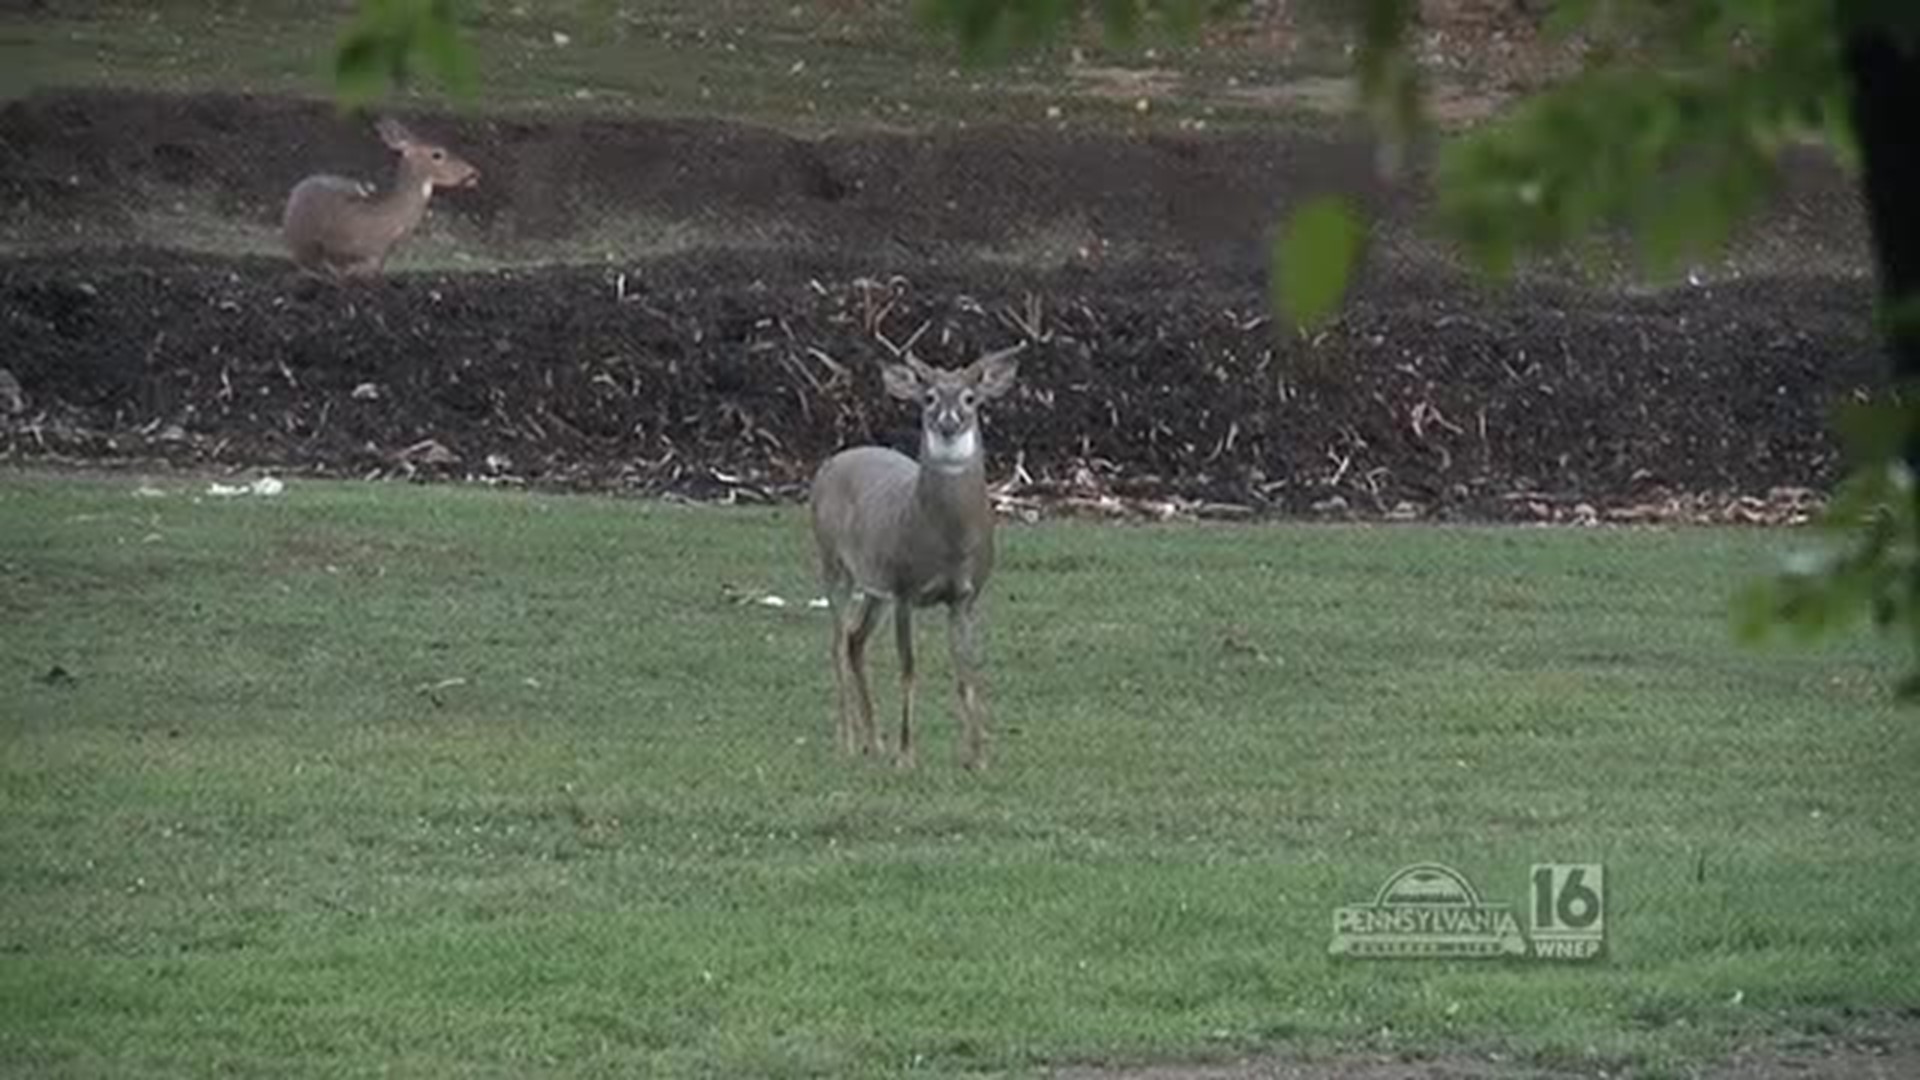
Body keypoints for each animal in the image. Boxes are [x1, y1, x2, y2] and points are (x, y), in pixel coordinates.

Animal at [808, 342, 1026, 770]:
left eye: (970, 398)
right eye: (929, 398)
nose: (948, 421)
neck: (948, 542)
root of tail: (832, 462)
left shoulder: (964, 597)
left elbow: (966, 673)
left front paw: (978, 757)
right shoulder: (905, 588)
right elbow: (909, 670)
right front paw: (906, 755)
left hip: (874, 585)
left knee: (855, 640)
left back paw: (873, 742)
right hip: (833, 561)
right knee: (837, 644)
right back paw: (848, 742)